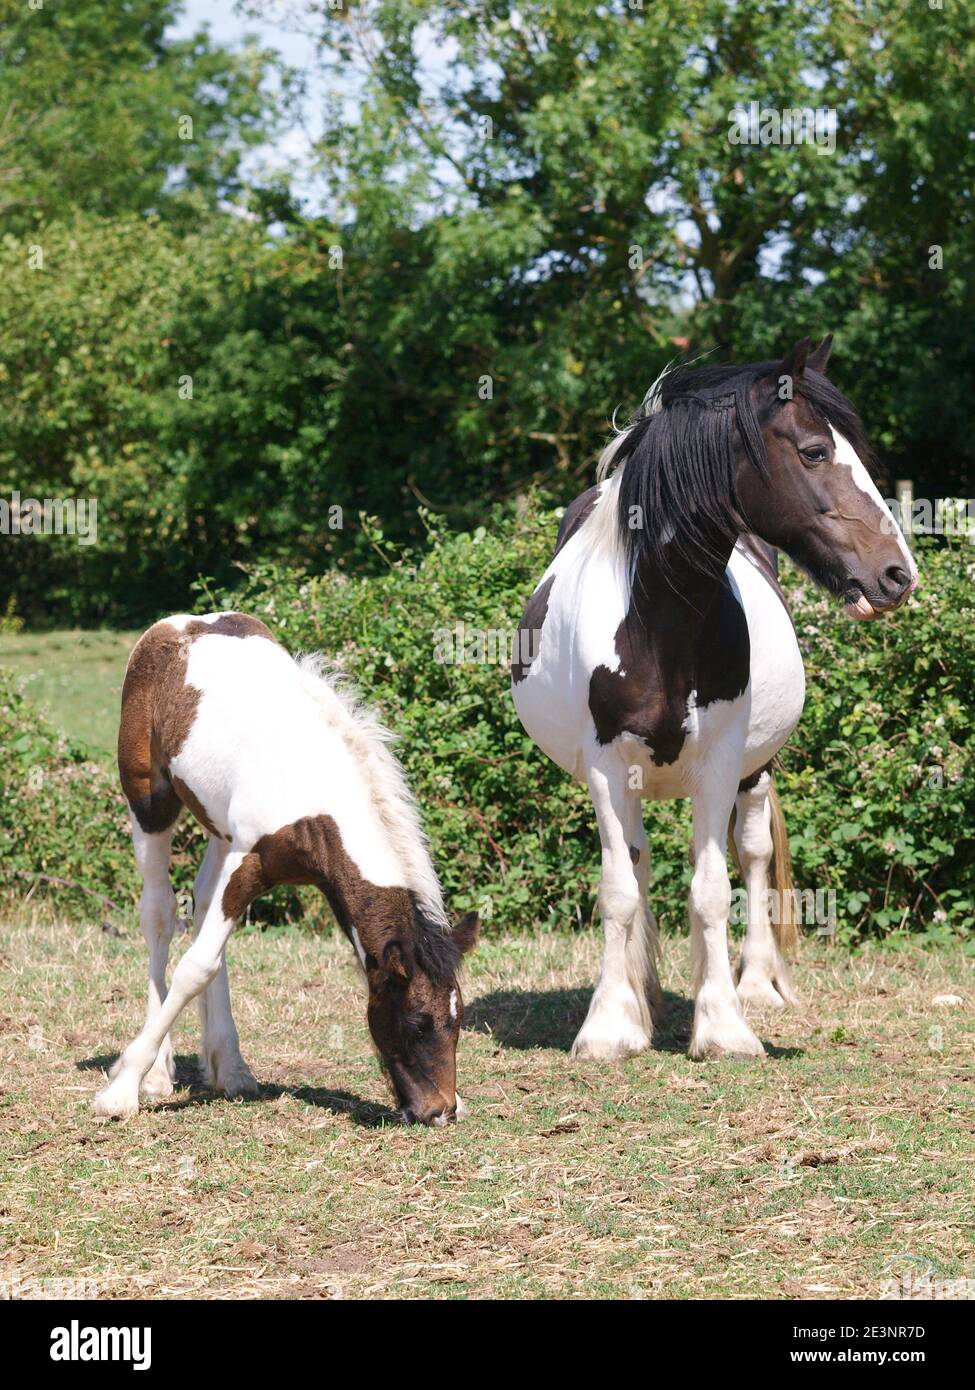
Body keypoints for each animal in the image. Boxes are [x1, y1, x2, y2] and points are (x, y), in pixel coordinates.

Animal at [94, 612, 478, 1125]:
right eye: (418, 1022)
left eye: (460, 1019)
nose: (441, 1111)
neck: (315, 796)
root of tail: (178, 624)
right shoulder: (249, 862)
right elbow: (196, 966)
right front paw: (120, 1091)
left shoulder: (239, 854)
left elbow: (209, 952)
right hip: (149, 803)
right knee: (158, 913)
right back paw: (156, 1074)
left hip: (218, 827)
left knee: (200, 907)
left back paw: (230, 1067)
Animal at [510, 336, 917, 1062]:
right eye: (814, 451)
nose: (898, 575)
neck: (656, 622)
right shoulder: (606, 765)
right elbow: (618, 888)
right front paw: (610, 1025)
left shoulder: (722, 763)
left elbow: (710, 890)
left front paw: (723, 1025)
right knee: (637, 861)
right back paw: (641, 991)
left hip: (756, 769)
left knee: (751, 853)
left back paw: (754, 984)